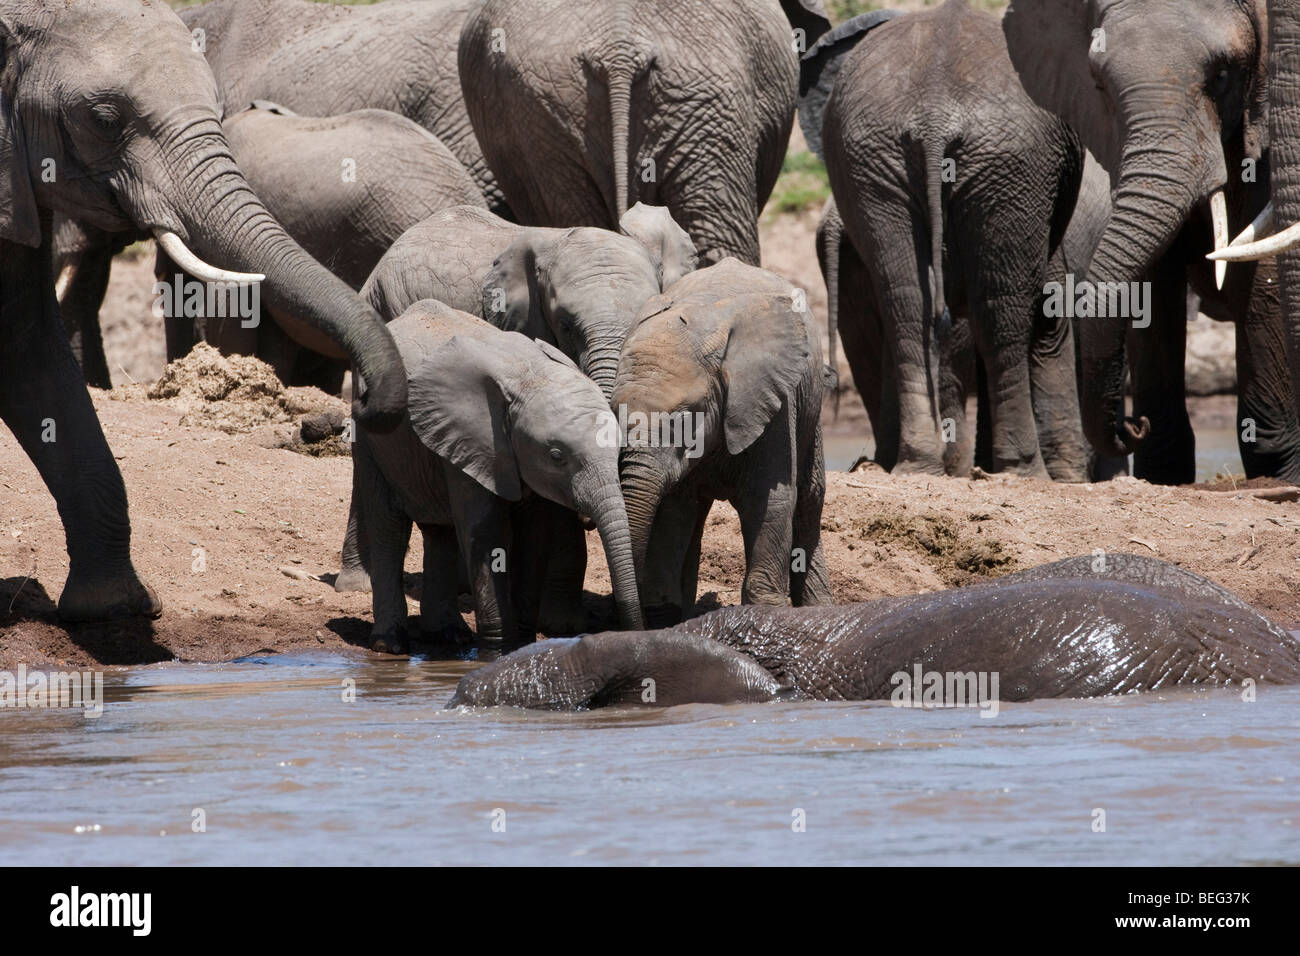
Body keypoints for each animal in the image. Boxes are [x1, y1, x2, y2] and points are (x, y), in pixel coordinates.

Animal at [353, 300, 643, 653]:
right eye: (556, 456)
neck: (529, 375)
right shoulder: (475, 439)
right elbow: (486, 534)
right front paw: (495, 652)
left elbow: (535, 537)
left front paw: (522, 646)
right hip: (373, 437)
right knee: (388, 525)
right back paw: (390, 644)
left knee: (440, 533)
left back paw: (449, 635)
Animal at [613, 259, 831, 629]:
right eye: (613, 414)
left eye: (683, 418)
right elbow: (673, 508)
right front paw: (664, 617)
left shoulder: (771, 401)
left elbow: (771, 500)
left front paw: (766, 612)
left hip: (809, 412)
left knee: (808, 503)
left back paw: (821, 610)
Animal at [803, 3, 1089, 479]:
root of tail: (933, 113)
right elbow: (1048, 313)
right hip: (1011, 168)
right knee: (1002, 308)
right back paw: (1023, 471)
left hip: (872, 161)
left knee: (905, 303)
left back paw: (917, 464)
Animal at [1003, 0, 1300, 485]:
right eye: (1100, 85)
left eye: (1223, 75)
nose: (1130, 425)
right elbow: (1153, 284)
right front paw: (1162, 472)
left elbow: (1260, 278)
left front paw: (1277, 473)